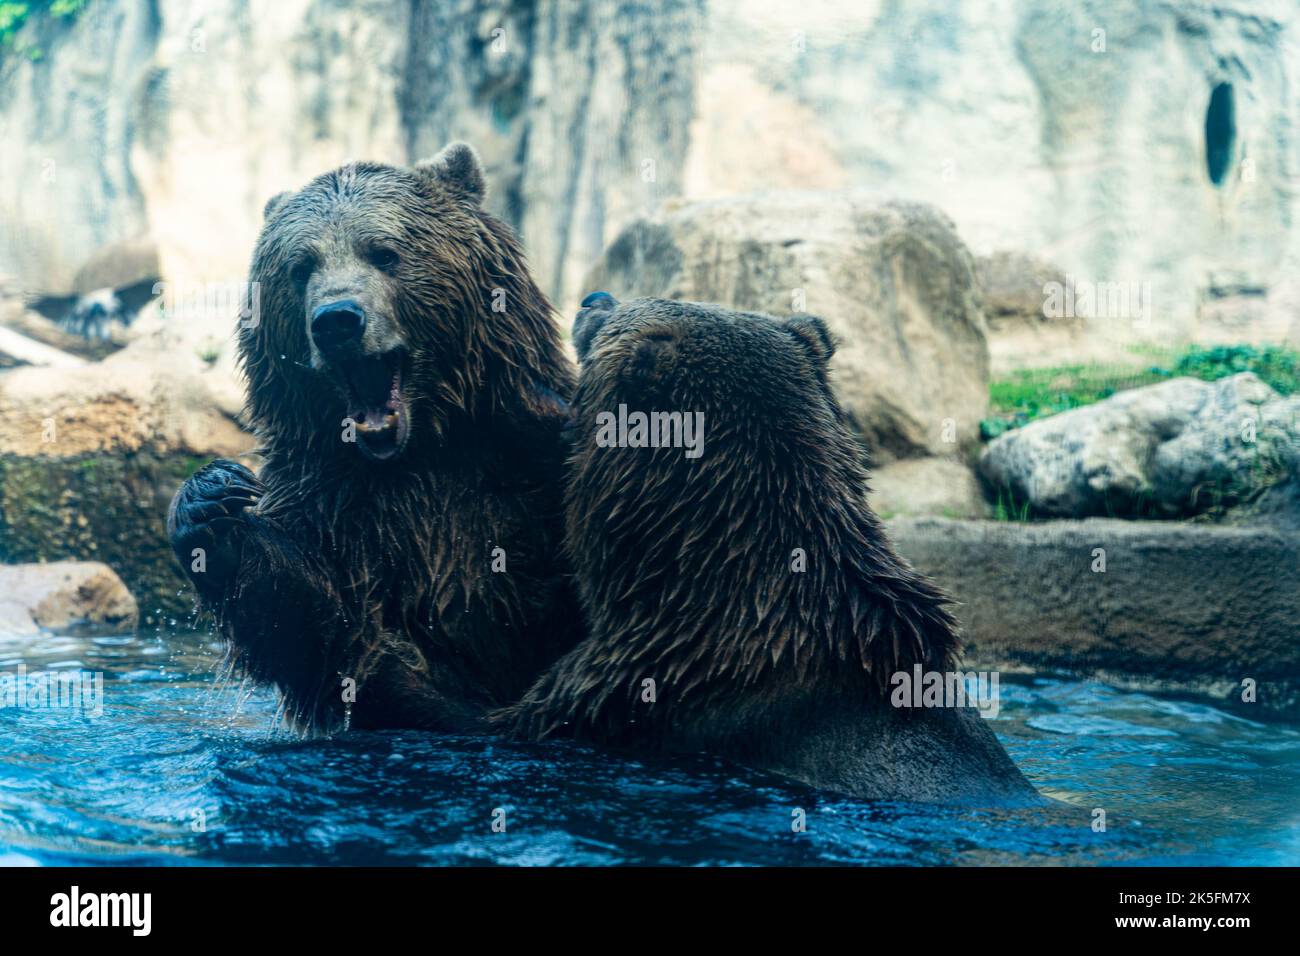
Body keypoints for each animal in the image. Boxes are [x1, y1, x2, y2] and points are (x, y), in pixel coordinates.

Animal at [168, 144, 582, 733]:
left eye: (384, 252)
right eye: (302, 266)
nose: (336, 320)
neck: (421, 451)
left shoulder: (526, 481)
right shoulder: (335, 503)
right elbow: (312, 621)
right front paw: (213, 498)